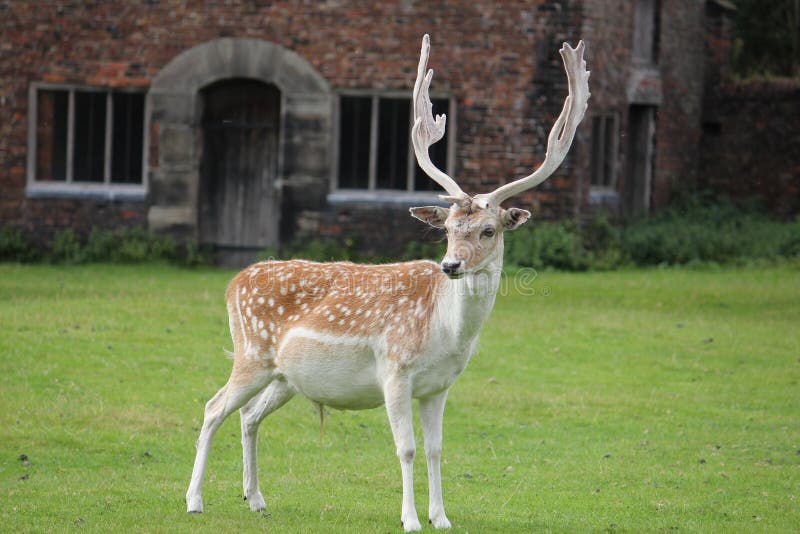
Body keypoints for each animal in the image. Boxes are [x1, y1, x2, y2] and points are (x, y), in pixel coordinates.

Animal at [186, 34, 589, 531]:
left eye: (488, 231)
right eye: (447, 228)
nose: (451, 265)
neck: (446, 332)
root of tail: (234, 282)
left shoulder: (439, 386)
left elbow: (436, 450)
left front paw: (441, 517)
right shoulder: (395, 370)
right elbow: (407, 448)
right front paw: (411, 519)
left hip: (285, 376)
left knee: (247, 415)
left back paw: (256, 499)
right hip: (252, 353)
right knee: (212, 408)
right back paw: (194, 500)